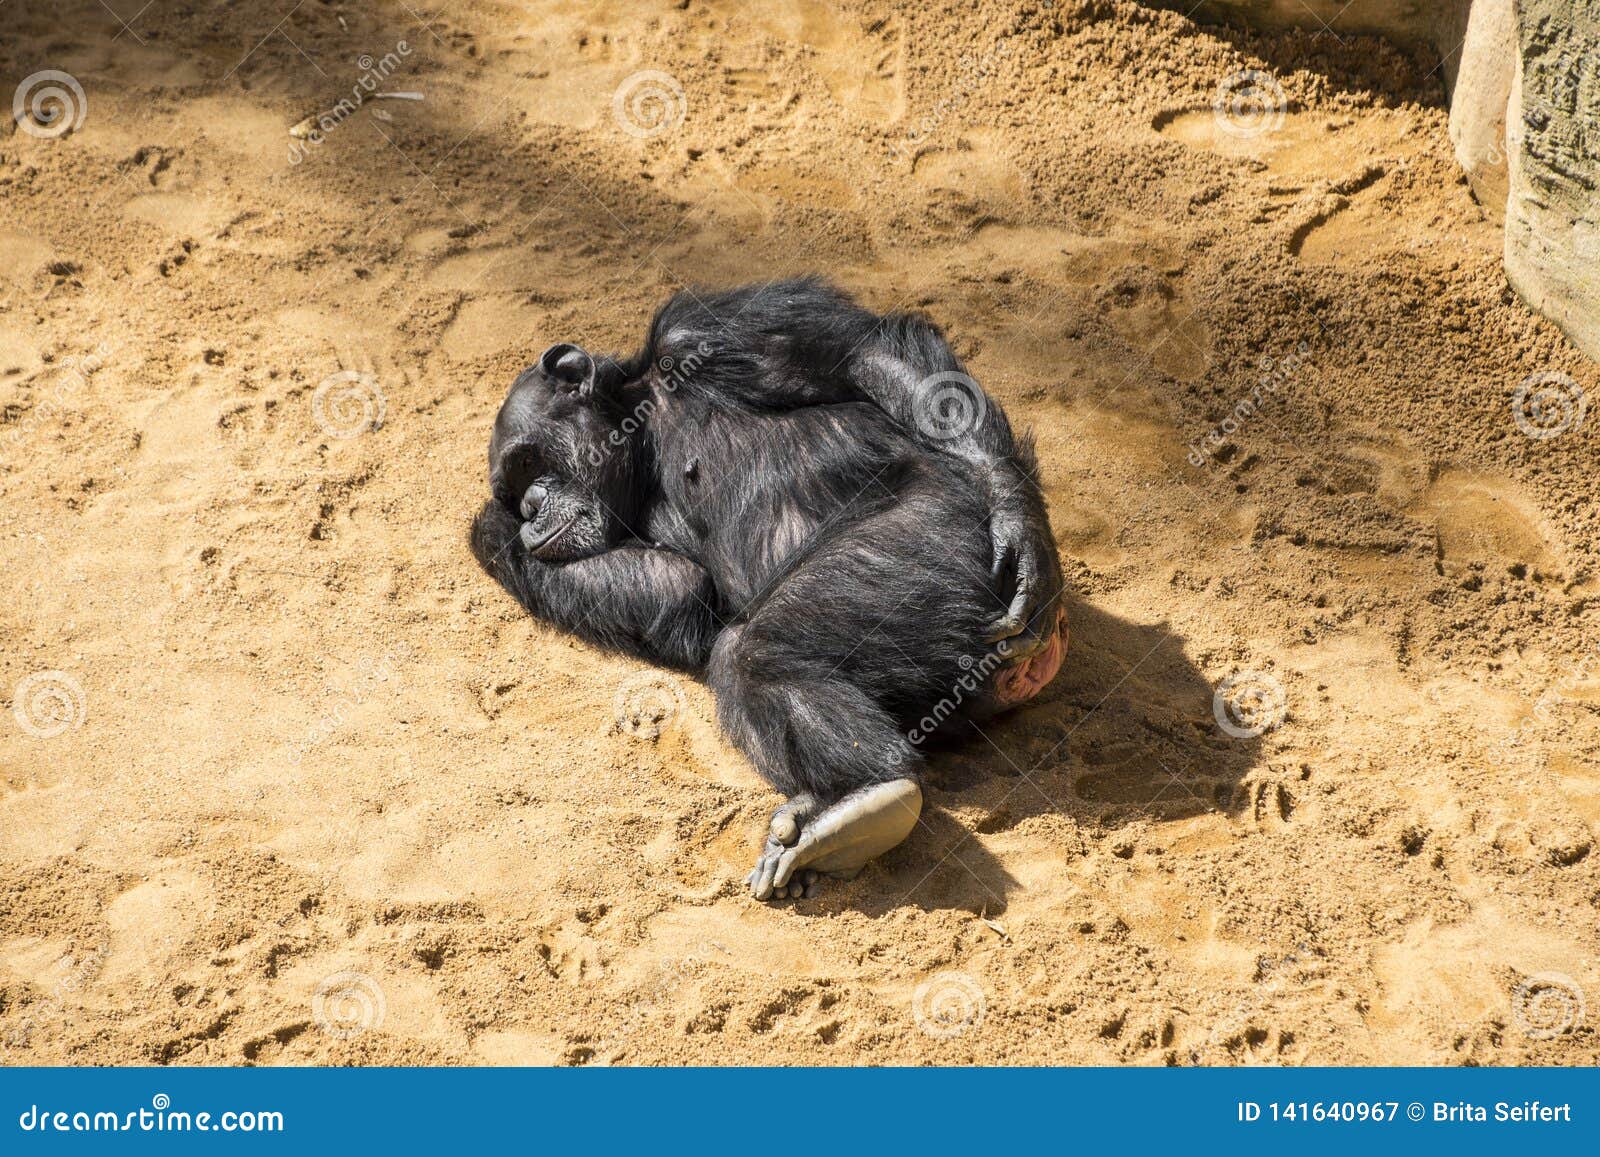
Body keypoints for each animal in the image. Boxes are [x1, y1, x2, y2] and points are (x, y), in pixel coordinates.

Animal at [471, 279, 1067, 900]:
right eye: (511, 487)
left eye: (528, 461)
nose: (528, 507)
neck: (643, 435)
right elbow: (680, 591)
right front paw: (494, 528)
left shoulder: (706, 332)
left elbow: (863, 356)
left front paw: (1021, 529)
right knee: (745, 652)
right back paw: (838, 817)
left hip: (936, 544)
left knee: (759, 650)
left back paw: (868, 793)